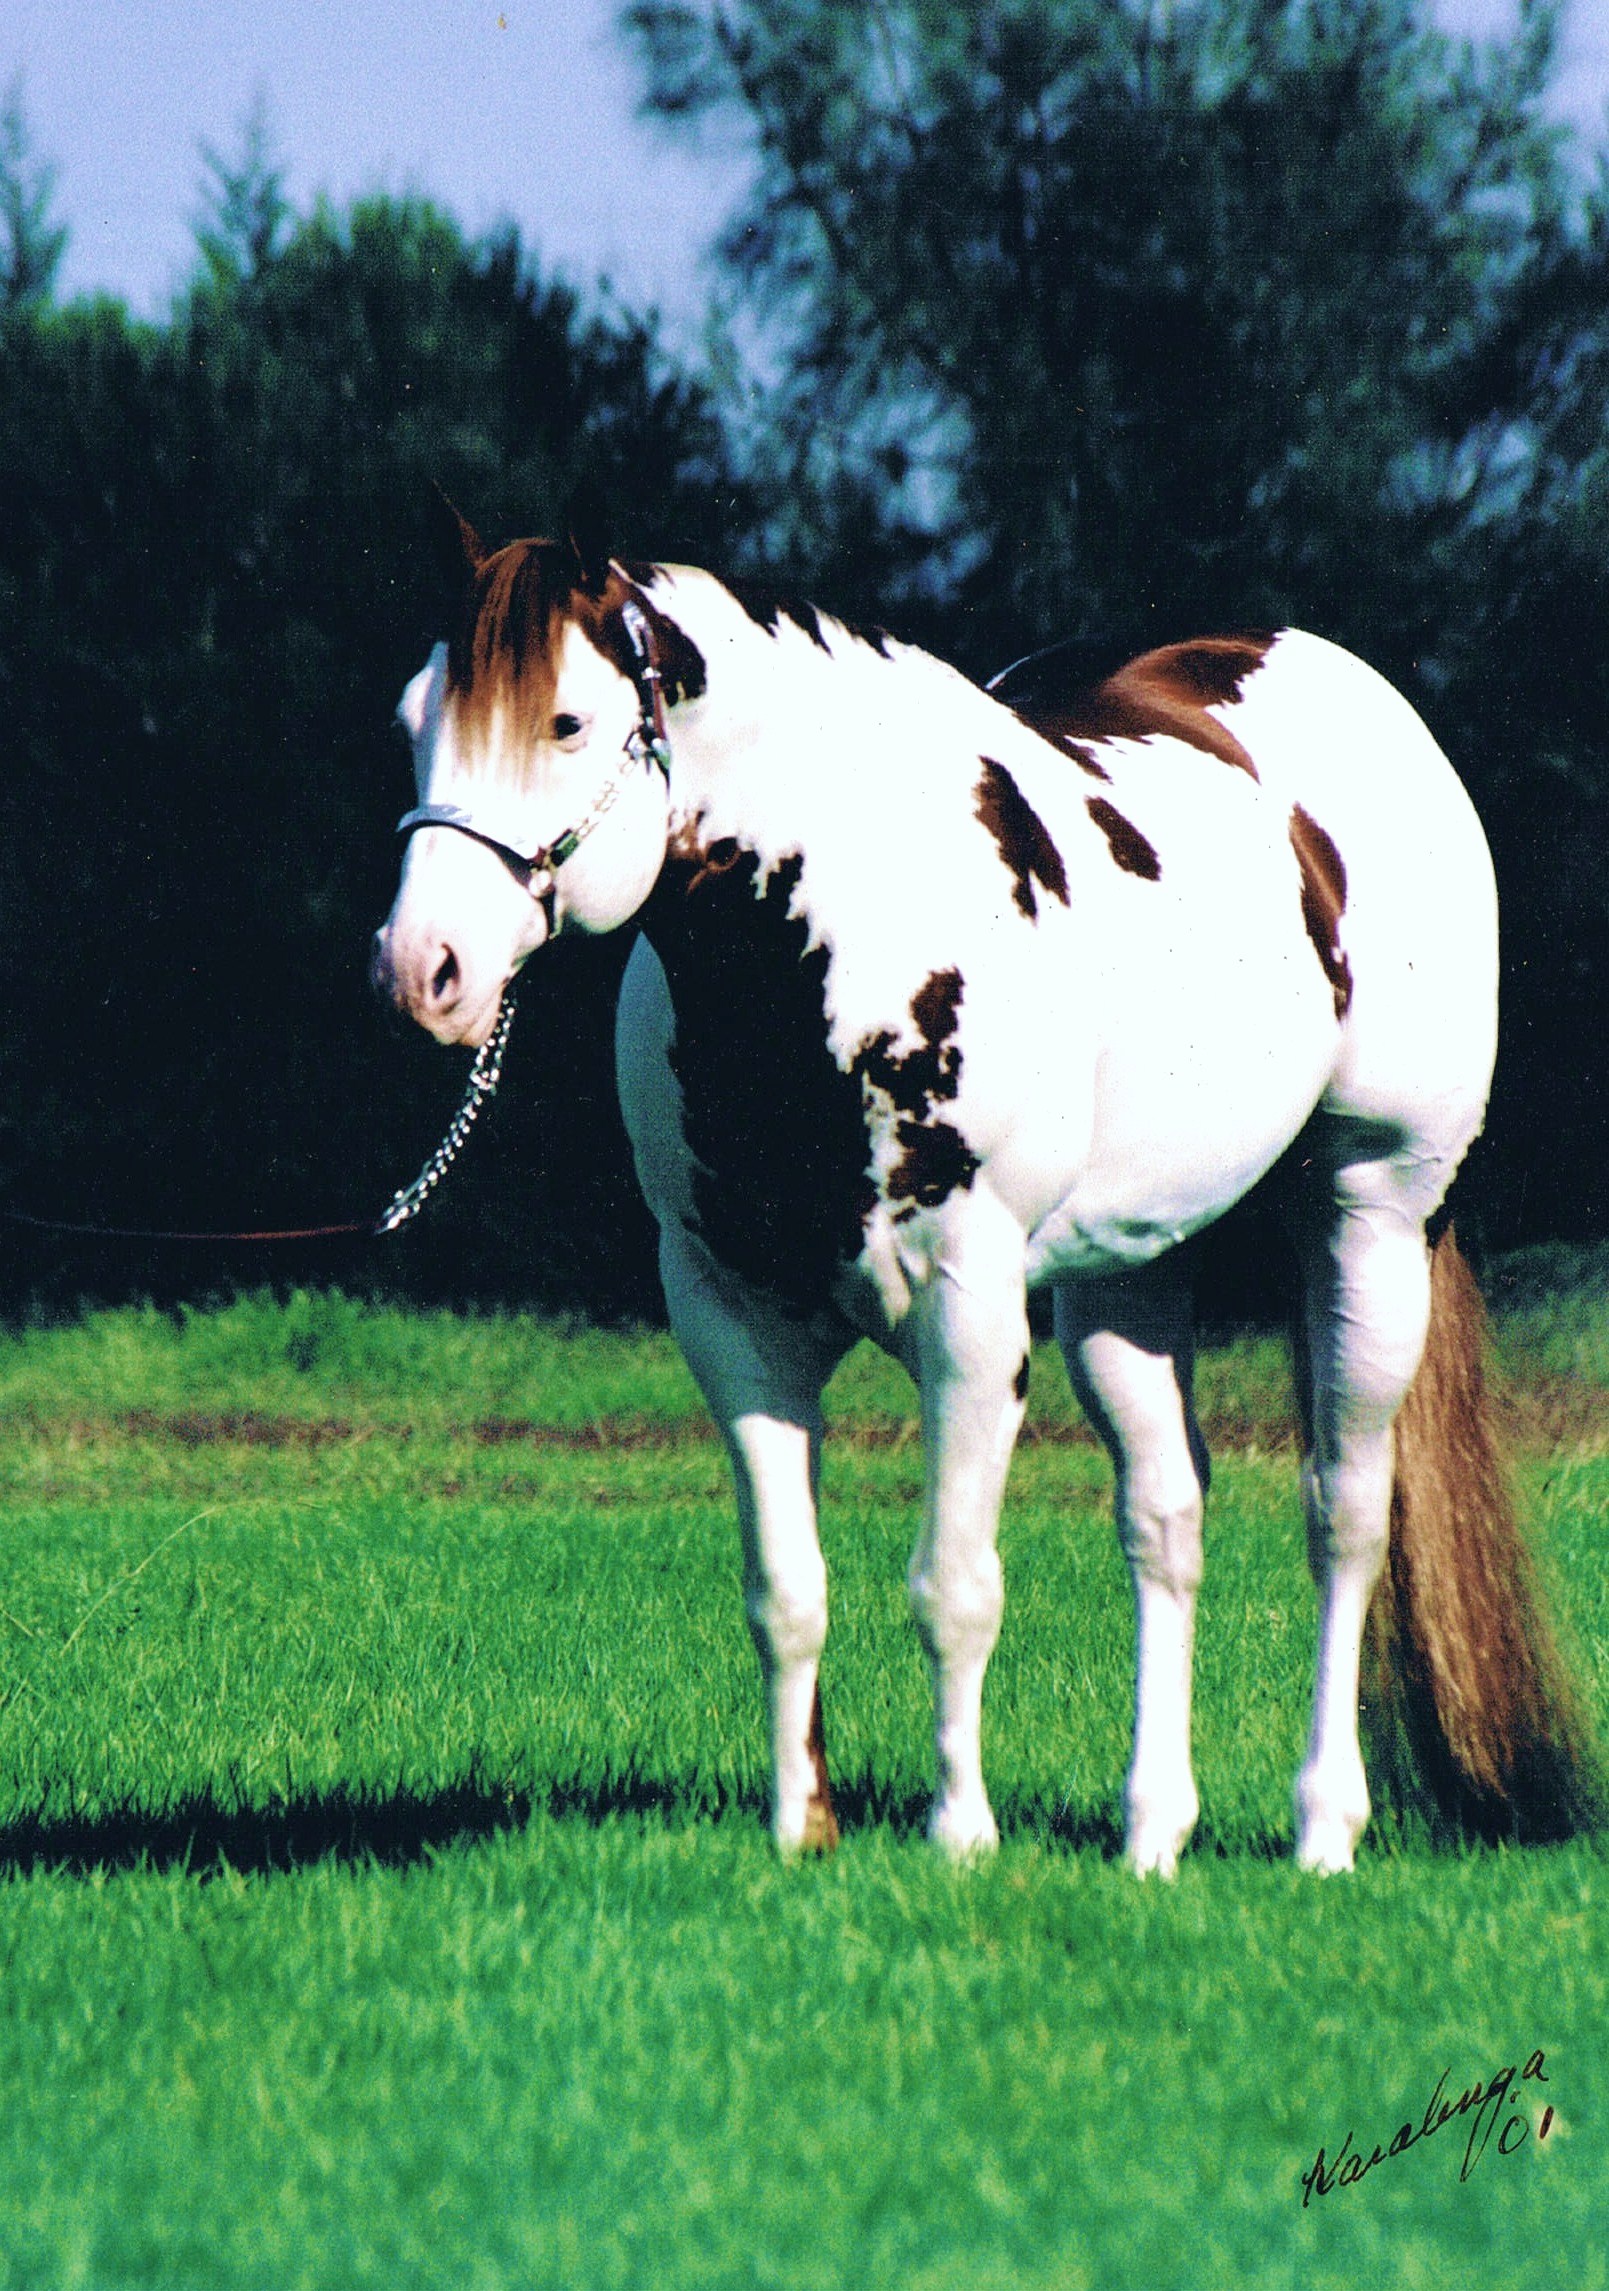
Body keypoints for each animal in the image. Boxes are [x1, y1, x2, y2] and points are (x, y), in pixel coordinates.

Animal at [371, 504, 1597, 1874]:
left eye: (567, 721)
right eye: (415, 715)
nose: (422, 969)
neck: (844, 927)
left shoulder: (967, 1309)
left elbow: (952, 1585)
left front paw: (960, 1834)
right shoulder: (729, 1313)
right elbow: (785, 1590)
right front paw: (798, 1831)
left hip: (1371, 1215)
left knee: (1343, 1512)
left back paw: (1322, 1828)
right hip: (1128, 1276)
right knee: (1165, 1519)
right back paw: (1149, 1835)